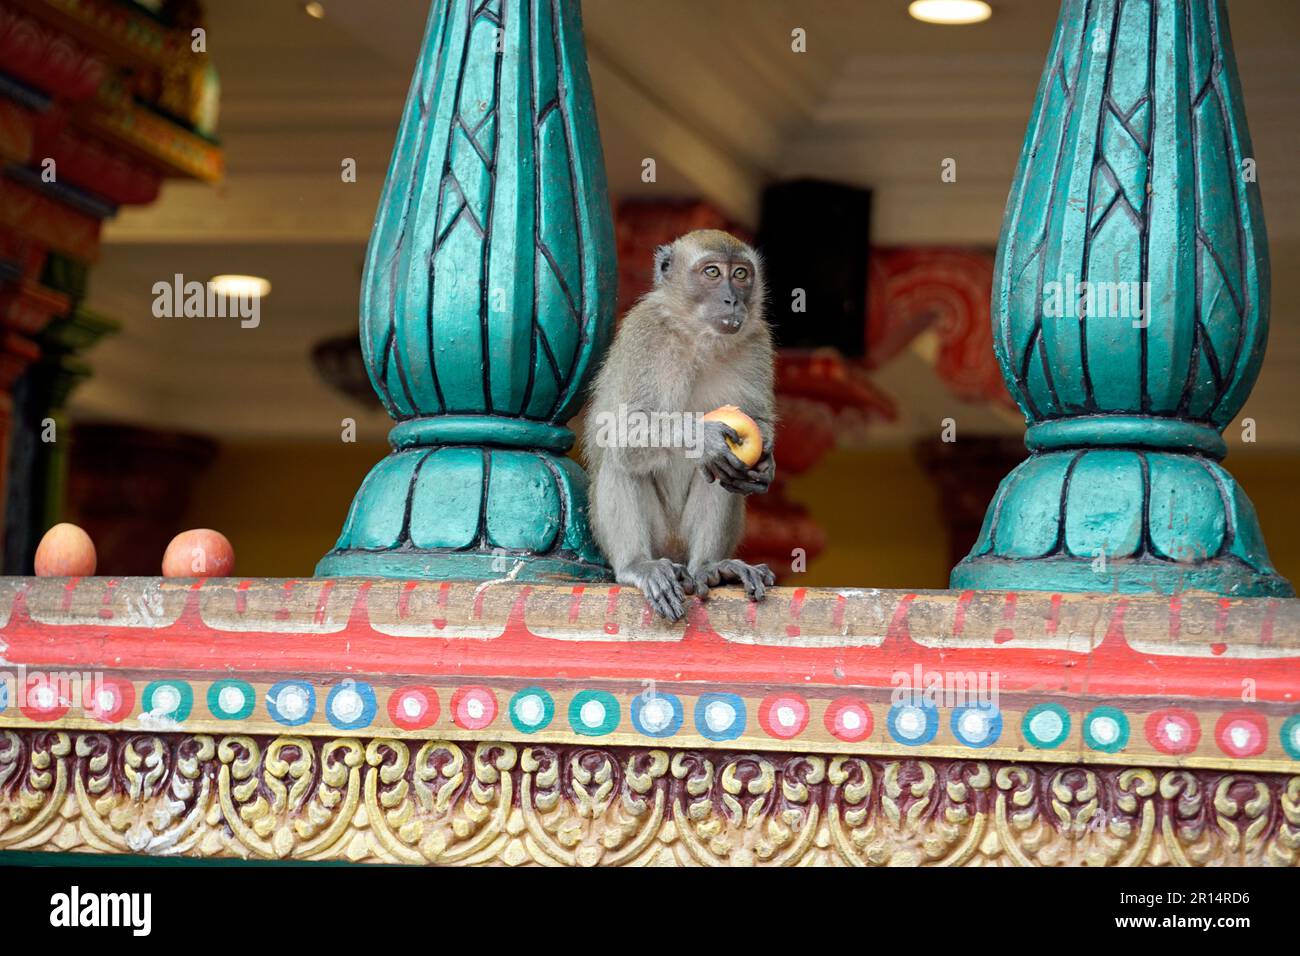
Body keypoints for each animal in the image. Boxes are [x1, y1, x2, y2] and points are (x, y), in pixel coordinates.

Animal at [584, 229, 777, 622]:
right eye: (712, 272)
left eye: (741, 274)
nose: (732, 300)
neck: (697, 336)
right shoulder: (645, 333)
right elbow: (623, 430)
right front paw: (704, 437)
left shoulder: (757, 340)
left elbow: (759, 421)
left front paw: (766, 461)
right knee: (620, 462)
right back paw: (638, 565)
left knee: (723, 474)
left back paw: (712, 566)